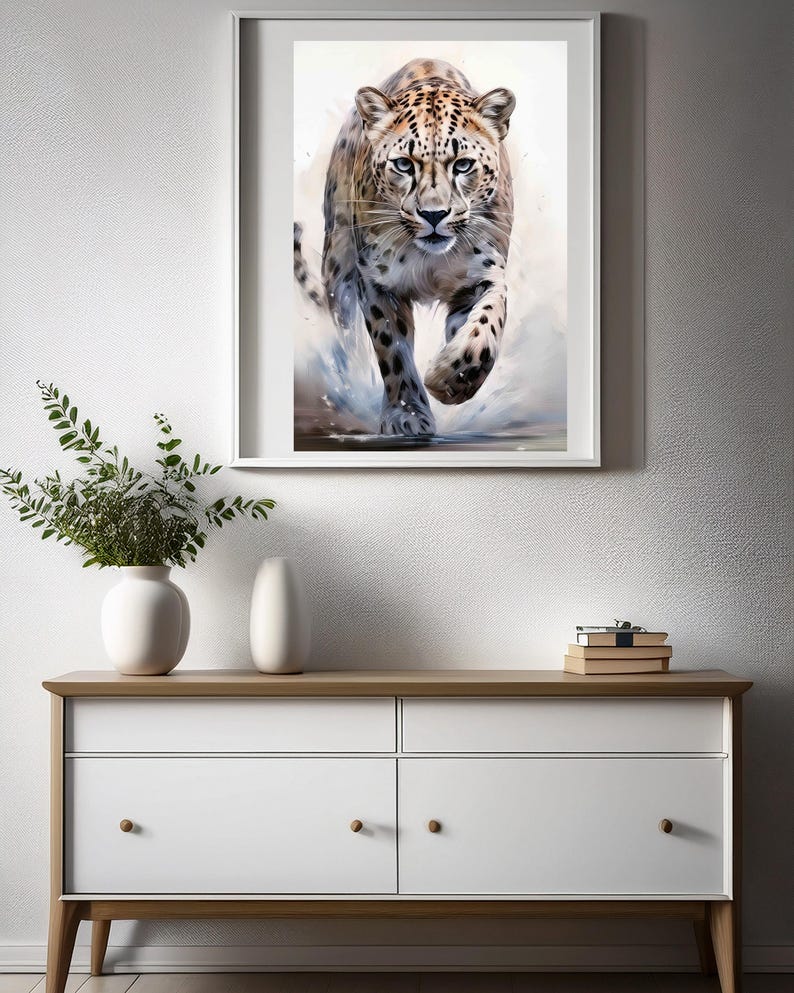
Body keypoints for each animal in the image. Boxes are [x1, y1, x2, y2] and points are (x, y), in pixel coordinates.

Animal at [294, 58, 516, 437]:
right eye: (403, 164)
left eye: (463, 165)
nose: (433, 214)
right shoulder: (377, 284)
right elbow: (392, 352)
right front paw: (406, 415)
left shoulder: (483, 276)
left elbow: (484, 329)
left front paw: (449, 380)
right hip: (338, 267)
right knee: (347, 333)